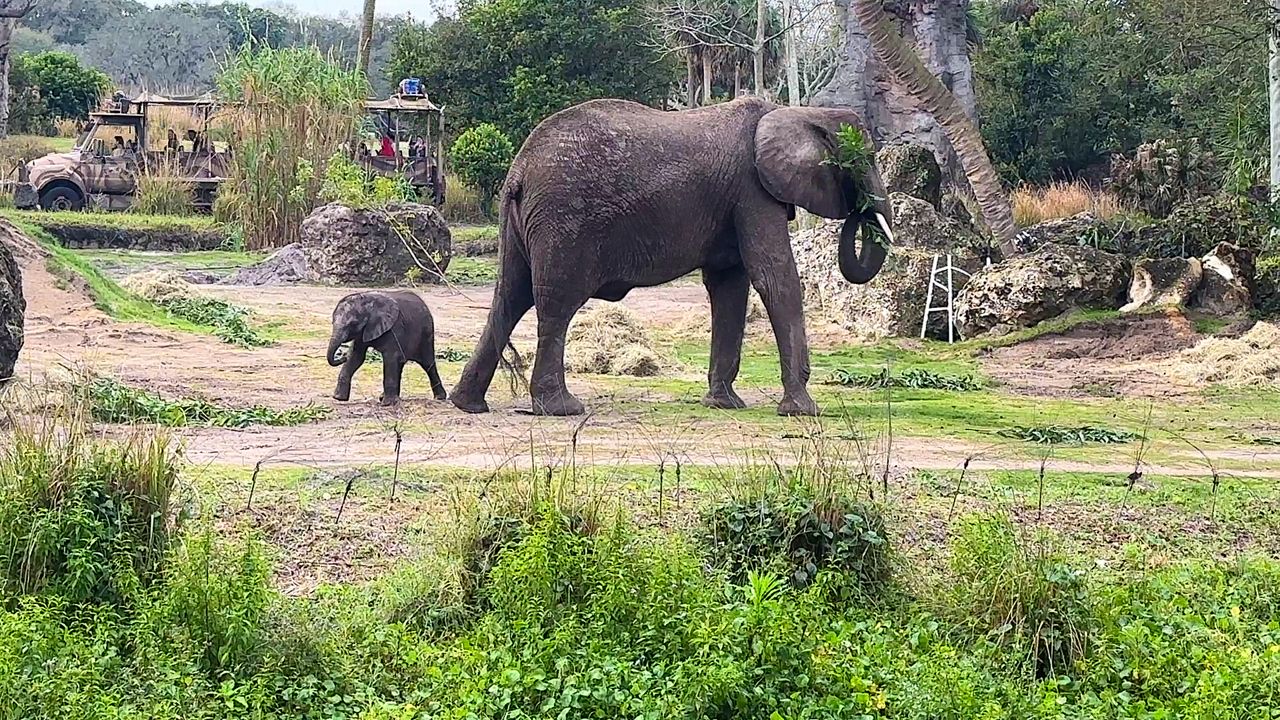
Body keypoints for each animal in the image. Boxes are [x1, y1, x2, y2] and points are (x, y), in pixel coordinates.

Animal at [450, 97, 895, 417]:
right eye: (863, 159)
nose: (860, 211)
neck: (797, 111)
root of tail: (519, 171)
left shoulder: (736, 200)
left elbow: (729, 285)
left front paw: (724, 404)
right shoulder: (752, 192)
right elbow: (774, 277)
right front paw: (802, 410)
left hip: (524, 223)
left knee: (510, 297)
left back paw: (468, 404)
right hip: (565, 221)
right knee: (556, 304)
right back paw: (562, 409)